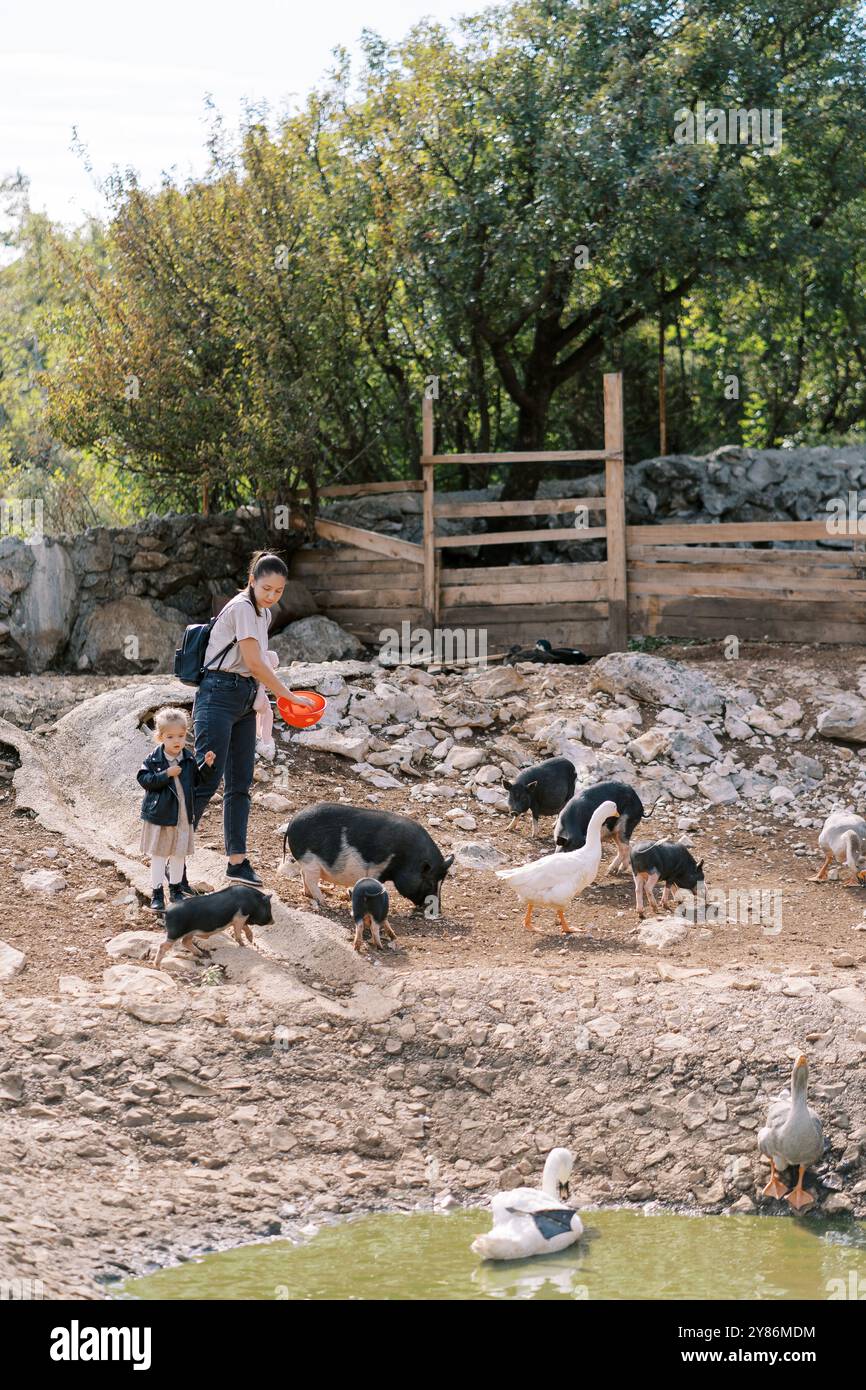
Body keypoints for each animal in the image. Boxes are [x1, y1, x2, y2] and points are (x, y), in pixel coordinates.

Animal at [283, 803, 454, 917]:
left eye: (442, 882)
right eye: (430, 882)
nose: (438, 910)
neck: (404, 858)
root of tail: (291, 823)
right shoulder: (375, 867)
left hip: (307, 863)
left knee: (303, 876)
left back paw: (310, 895)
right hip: (309, 861)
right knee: (310, 879)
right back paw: (324, 902)